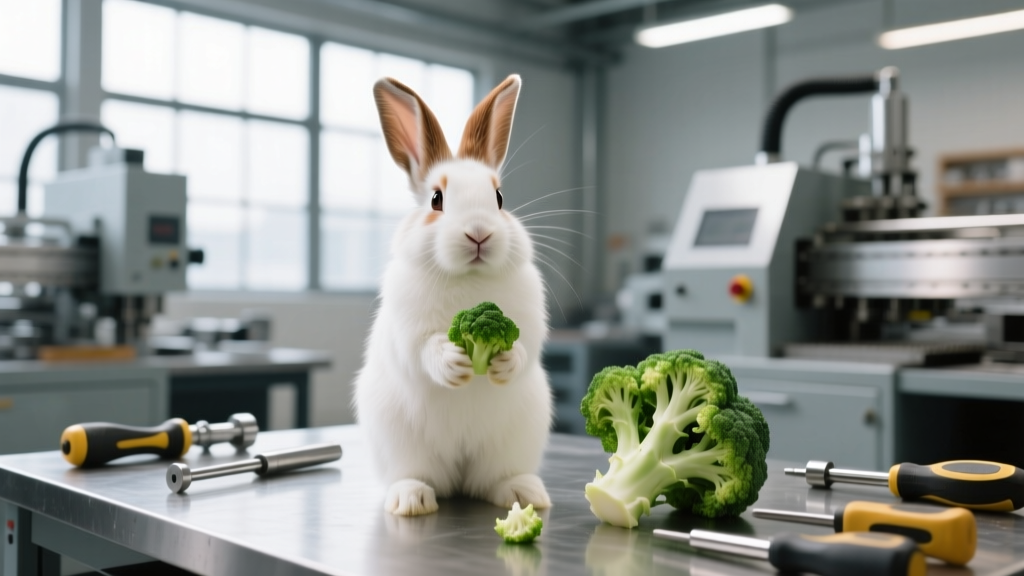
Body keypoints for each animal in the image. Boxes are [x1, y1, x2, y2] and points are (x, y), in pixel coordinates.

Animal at [353, 74, 553, 516]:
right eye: (436, 199)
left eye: (499, 198)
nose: (479, 233)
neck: (469, 280)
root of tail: (458, 478)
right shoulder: (408, 330)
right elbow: (421, 351)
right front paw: (453, 363)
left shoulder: (529, 323)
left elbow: (526, 348)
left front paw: (504, 364)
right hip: (400, 441)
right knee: (416, 476)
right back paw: (411, 501)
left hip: (515, 439)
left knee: (492, 481)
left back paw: (524, 494)